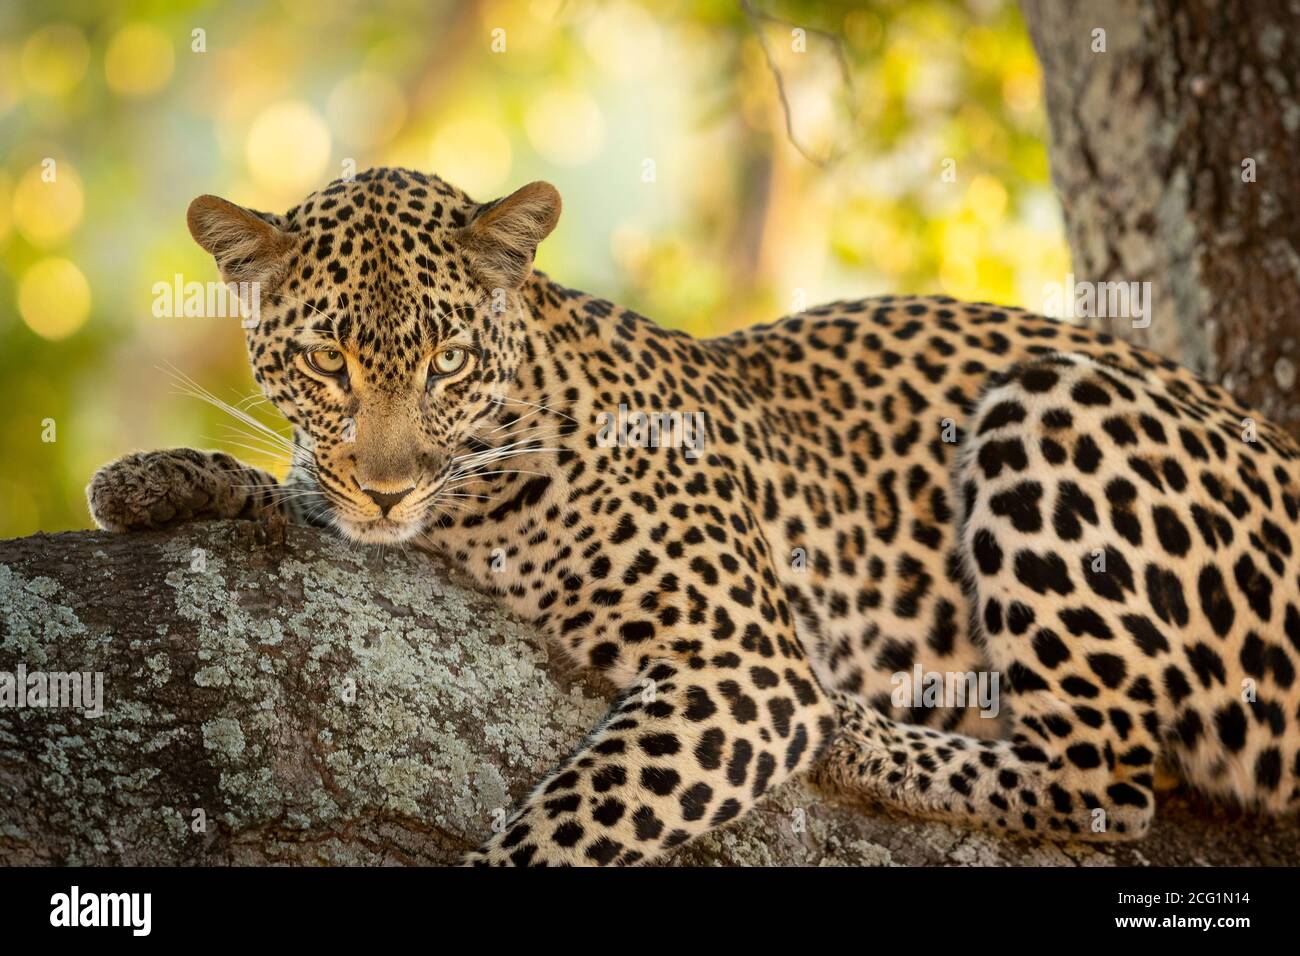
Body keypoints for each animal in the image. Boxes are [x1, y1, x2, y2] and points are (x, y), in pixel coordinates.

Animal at [87, 166, 1300, 864]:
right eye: (327, 360)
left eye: (446, 360)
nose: (387, 484)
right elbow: (301, 493)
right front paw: (156, 477)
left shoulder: (744, 670)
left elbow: (559, 833)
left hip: (1055, 400)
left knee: (1103, 783)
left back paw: (866, 738)